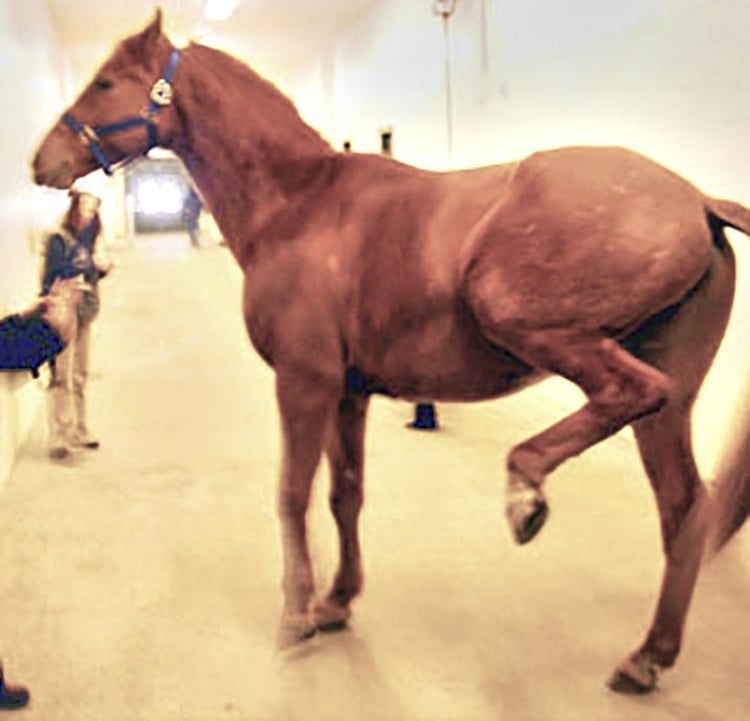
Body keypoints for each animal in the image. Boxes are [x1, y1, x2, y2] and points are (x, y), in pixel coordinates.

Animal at [31, 10, 749, 695]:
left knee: (631, 394)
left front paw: (297, 613)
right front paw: (336, 601)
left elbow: (291, 493)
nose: (42, 163)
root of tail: (697, 201)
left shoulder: (304, 383)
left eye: (105, 82)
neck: (298, 205)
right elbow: (343, 495)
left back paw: (526, 493)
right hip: (670, 408)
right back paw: (646, 656)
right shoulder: (349, 392)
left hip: (539, 327)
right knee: (684, 508)